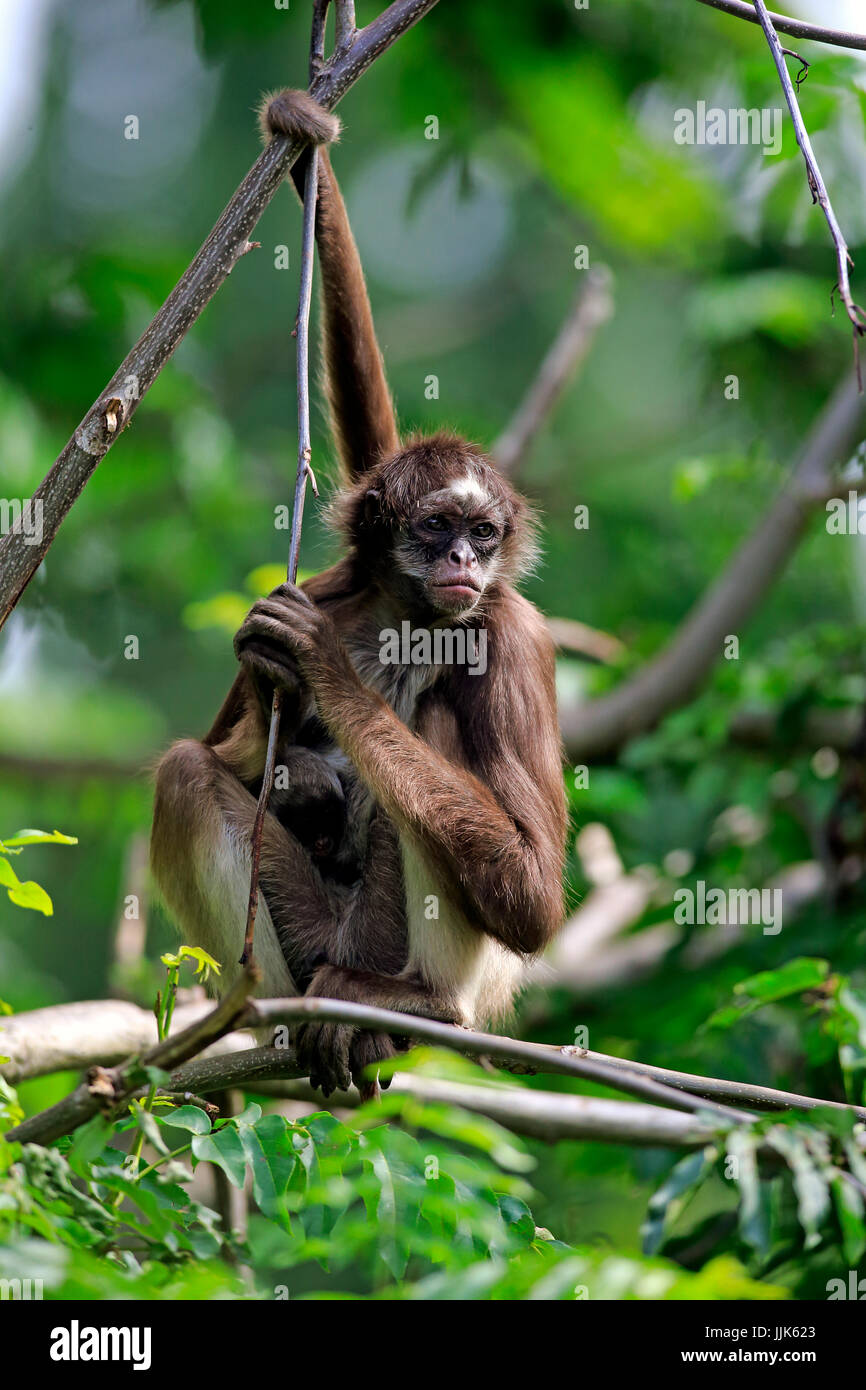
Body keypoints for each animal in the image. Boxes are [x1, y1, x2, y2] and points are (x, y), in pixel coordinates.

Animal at [151, 88, 568, 1097]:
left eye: (482, 535)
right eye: (435, 526)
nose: (461, 562)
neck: (409, 618)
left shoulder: (513, 630)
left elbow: (533, 900)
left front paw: (323, 673)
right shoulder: (329, 586)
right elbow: (223, 755)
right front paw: (291, 755)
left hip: (392, 943)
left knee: (441, 727)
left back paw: (415, 1008)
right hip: (309, 939)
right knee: (184, 772)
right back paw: (271, 1011)